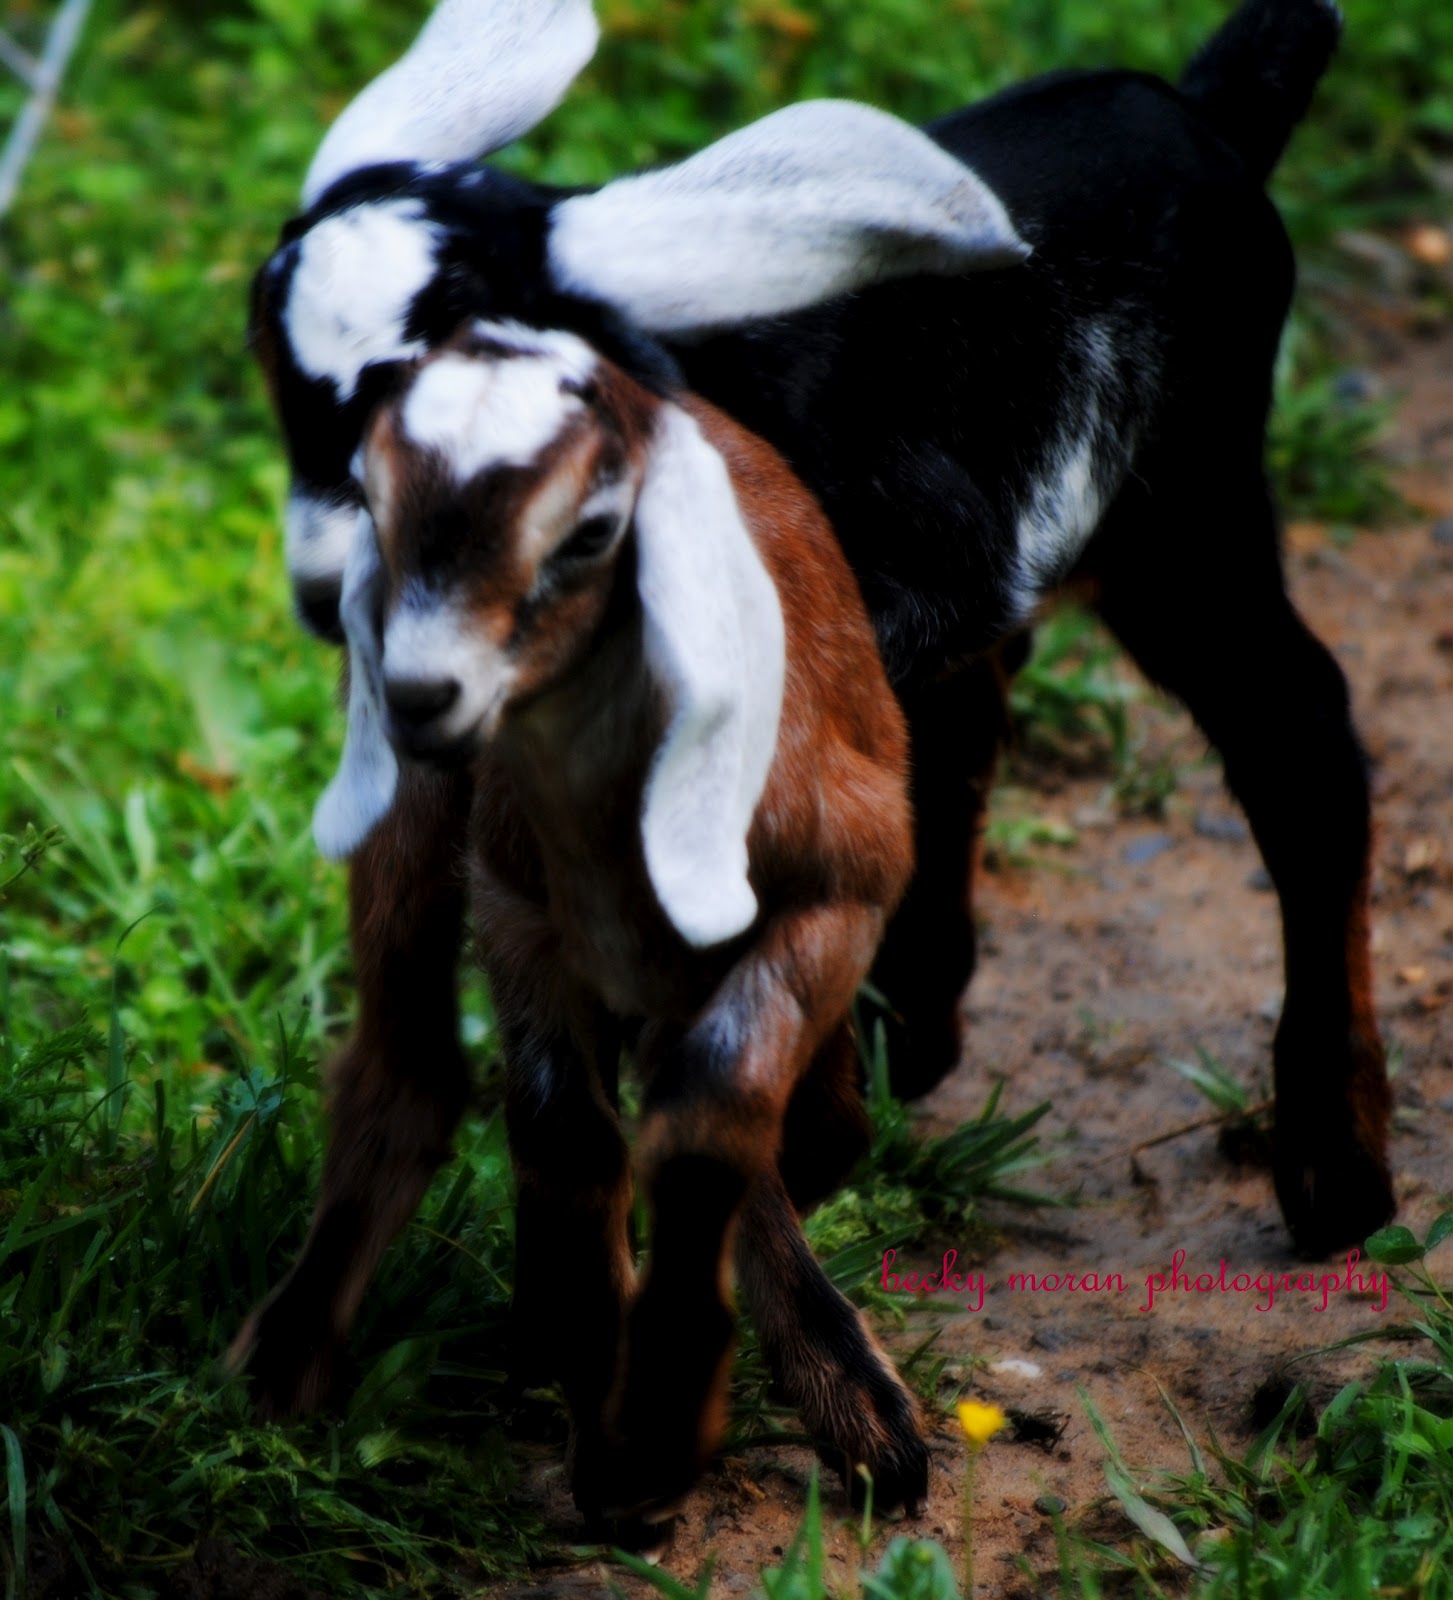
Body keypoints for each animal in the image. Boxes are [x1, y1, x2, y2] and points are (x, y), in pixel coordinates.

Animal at [258, 315, 925, 1524]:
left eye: (591, 533)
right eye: (372, 497)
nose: (423, 690)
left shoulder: (838, 893)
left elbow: (713, 1113)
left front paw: (814, 1419)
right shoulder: (517, 907)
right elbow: (566, 1128)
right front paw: (617, 1426)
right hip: (415, 823)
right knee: (409, 1065)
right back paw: (322, 1352)